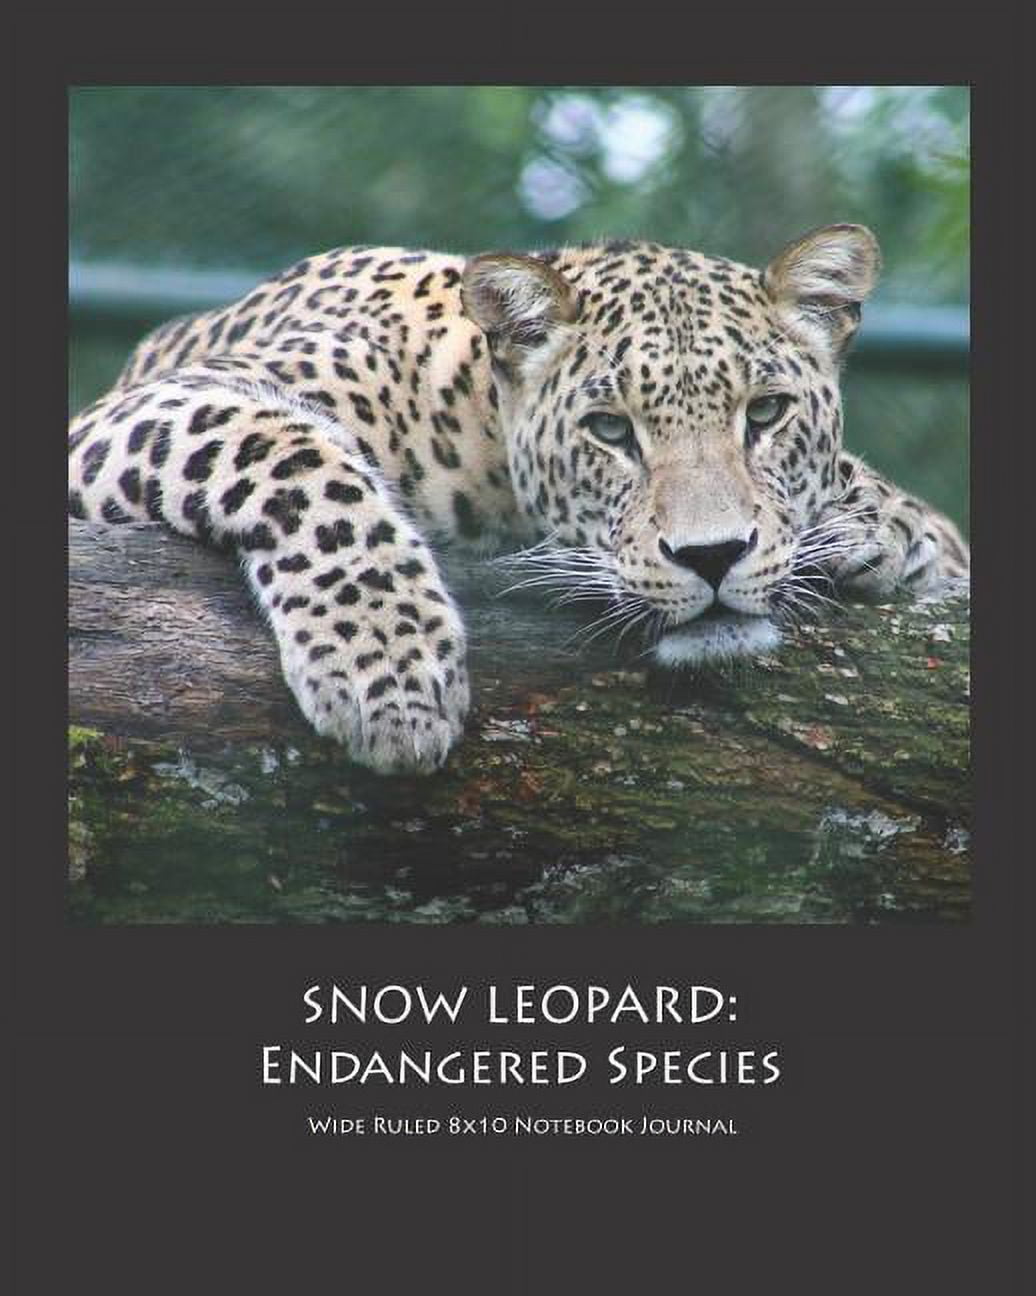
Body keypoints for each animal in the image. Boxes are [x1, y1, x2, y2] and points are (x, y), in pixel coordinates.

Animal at [68, 223, 969, 774]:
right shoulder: (136, 414)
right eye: (609, 429)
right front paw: (389, 670)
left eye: (768, 414)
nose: (712, 557)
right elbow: (297, 457)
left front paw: (889, 526)